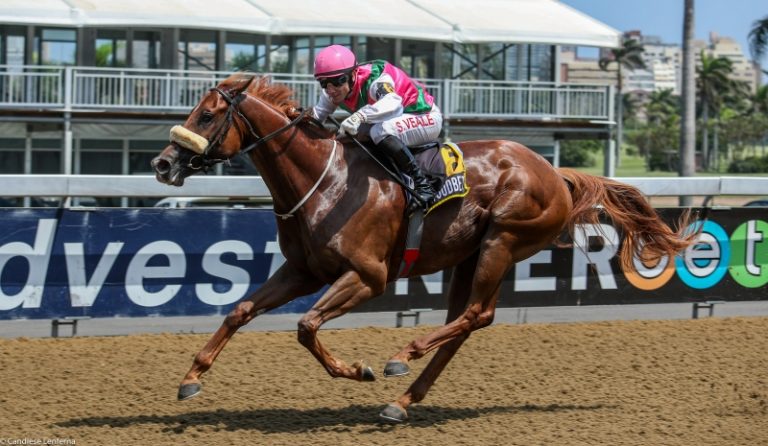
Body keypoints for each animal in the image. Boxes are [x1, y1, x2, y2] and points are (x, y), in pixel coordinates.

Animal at [151, 73, 696, 422]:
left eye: (208, 114)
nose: (162, 164)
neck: (324, 182)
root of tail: (554, 173)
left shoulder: (368, 276)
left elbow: (306, 327)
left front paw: (359, 369)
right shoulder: (303, 271)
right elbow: (240, 311)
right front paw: (191, 377)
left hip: (503, 240)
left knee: (477, 315)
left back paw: (401, 356)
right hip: (470, 257)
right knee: (463, 325)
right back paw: (403, 401)